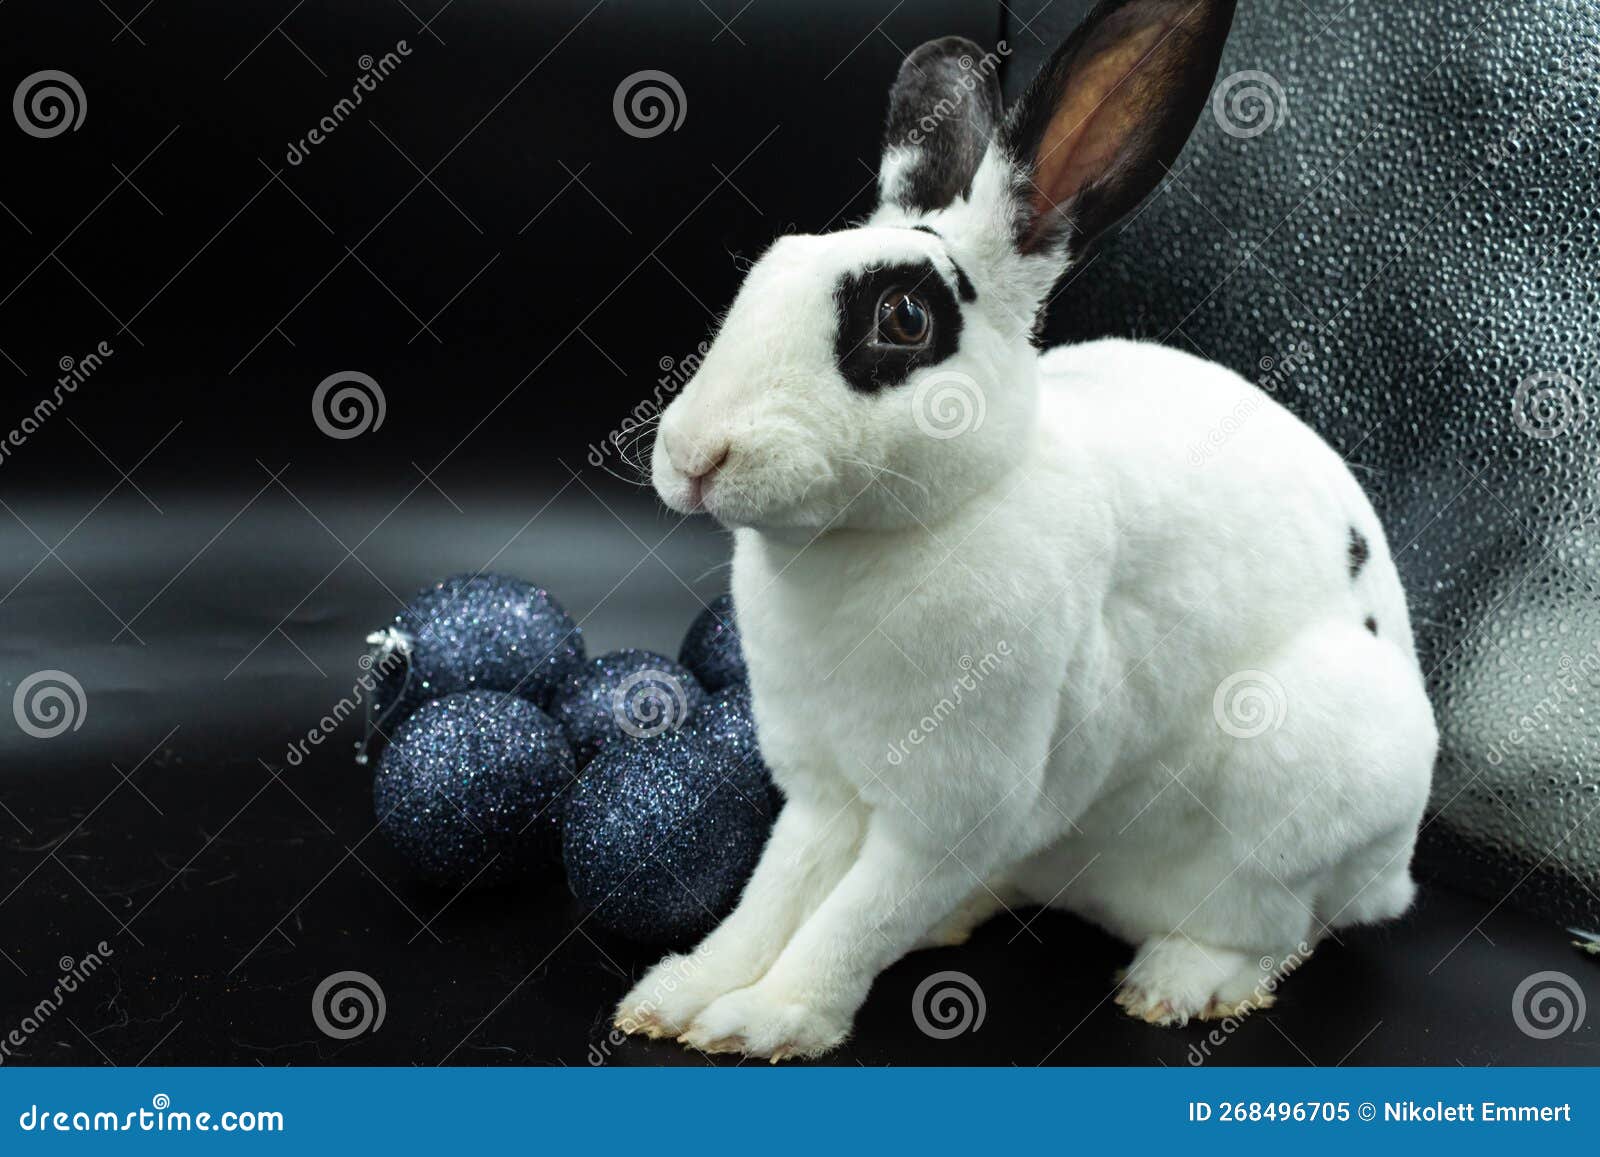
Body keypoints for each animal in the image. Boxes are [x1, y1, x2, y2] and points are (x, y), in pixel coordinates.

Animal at [617, 0, 1436, 1060]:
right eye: (764, 275)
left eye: (904, 317)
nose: (694, 456)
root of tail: (1398, 869)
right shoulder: (822, 791)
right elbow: (774, 895)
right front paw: (681, 996)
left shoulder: (956, 803)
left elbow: (854, 917)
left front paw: (769, 1018)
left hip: (1302, 783)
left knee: (1279, 927)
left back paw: (1180, 982)